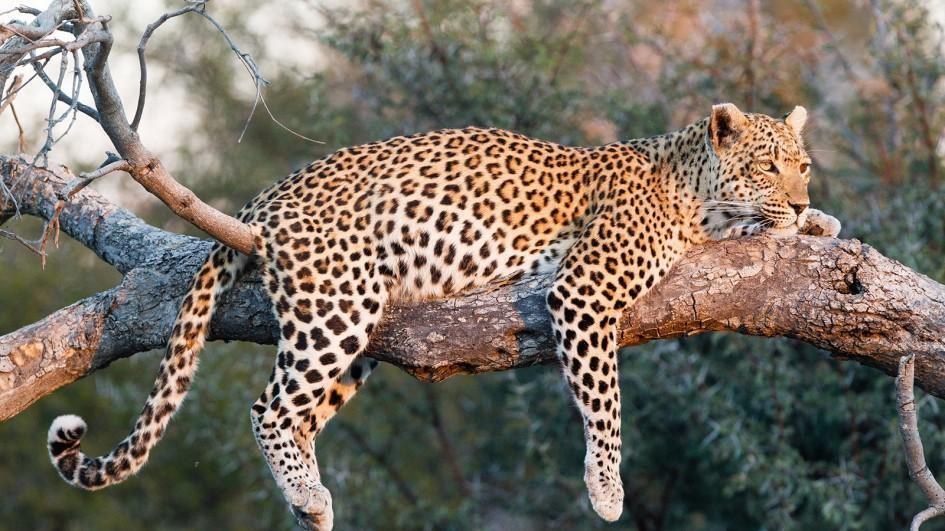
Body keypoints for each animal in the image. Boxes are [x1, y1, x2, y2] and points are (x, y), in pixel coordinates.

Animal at [46, 102, 840, 529]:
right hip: (337, 303)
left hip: (358, 330)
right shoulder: (583, 291)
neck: (694, 190)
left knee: (292, 411)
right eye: (767, 166)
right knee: (268, 408)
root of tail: (265, 197)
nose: (802, 195)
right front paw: (607, 487)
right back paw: (308, 494)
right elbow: (605, 402)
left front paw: (816, 223)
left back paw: (310, 499)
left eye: (802, 165)